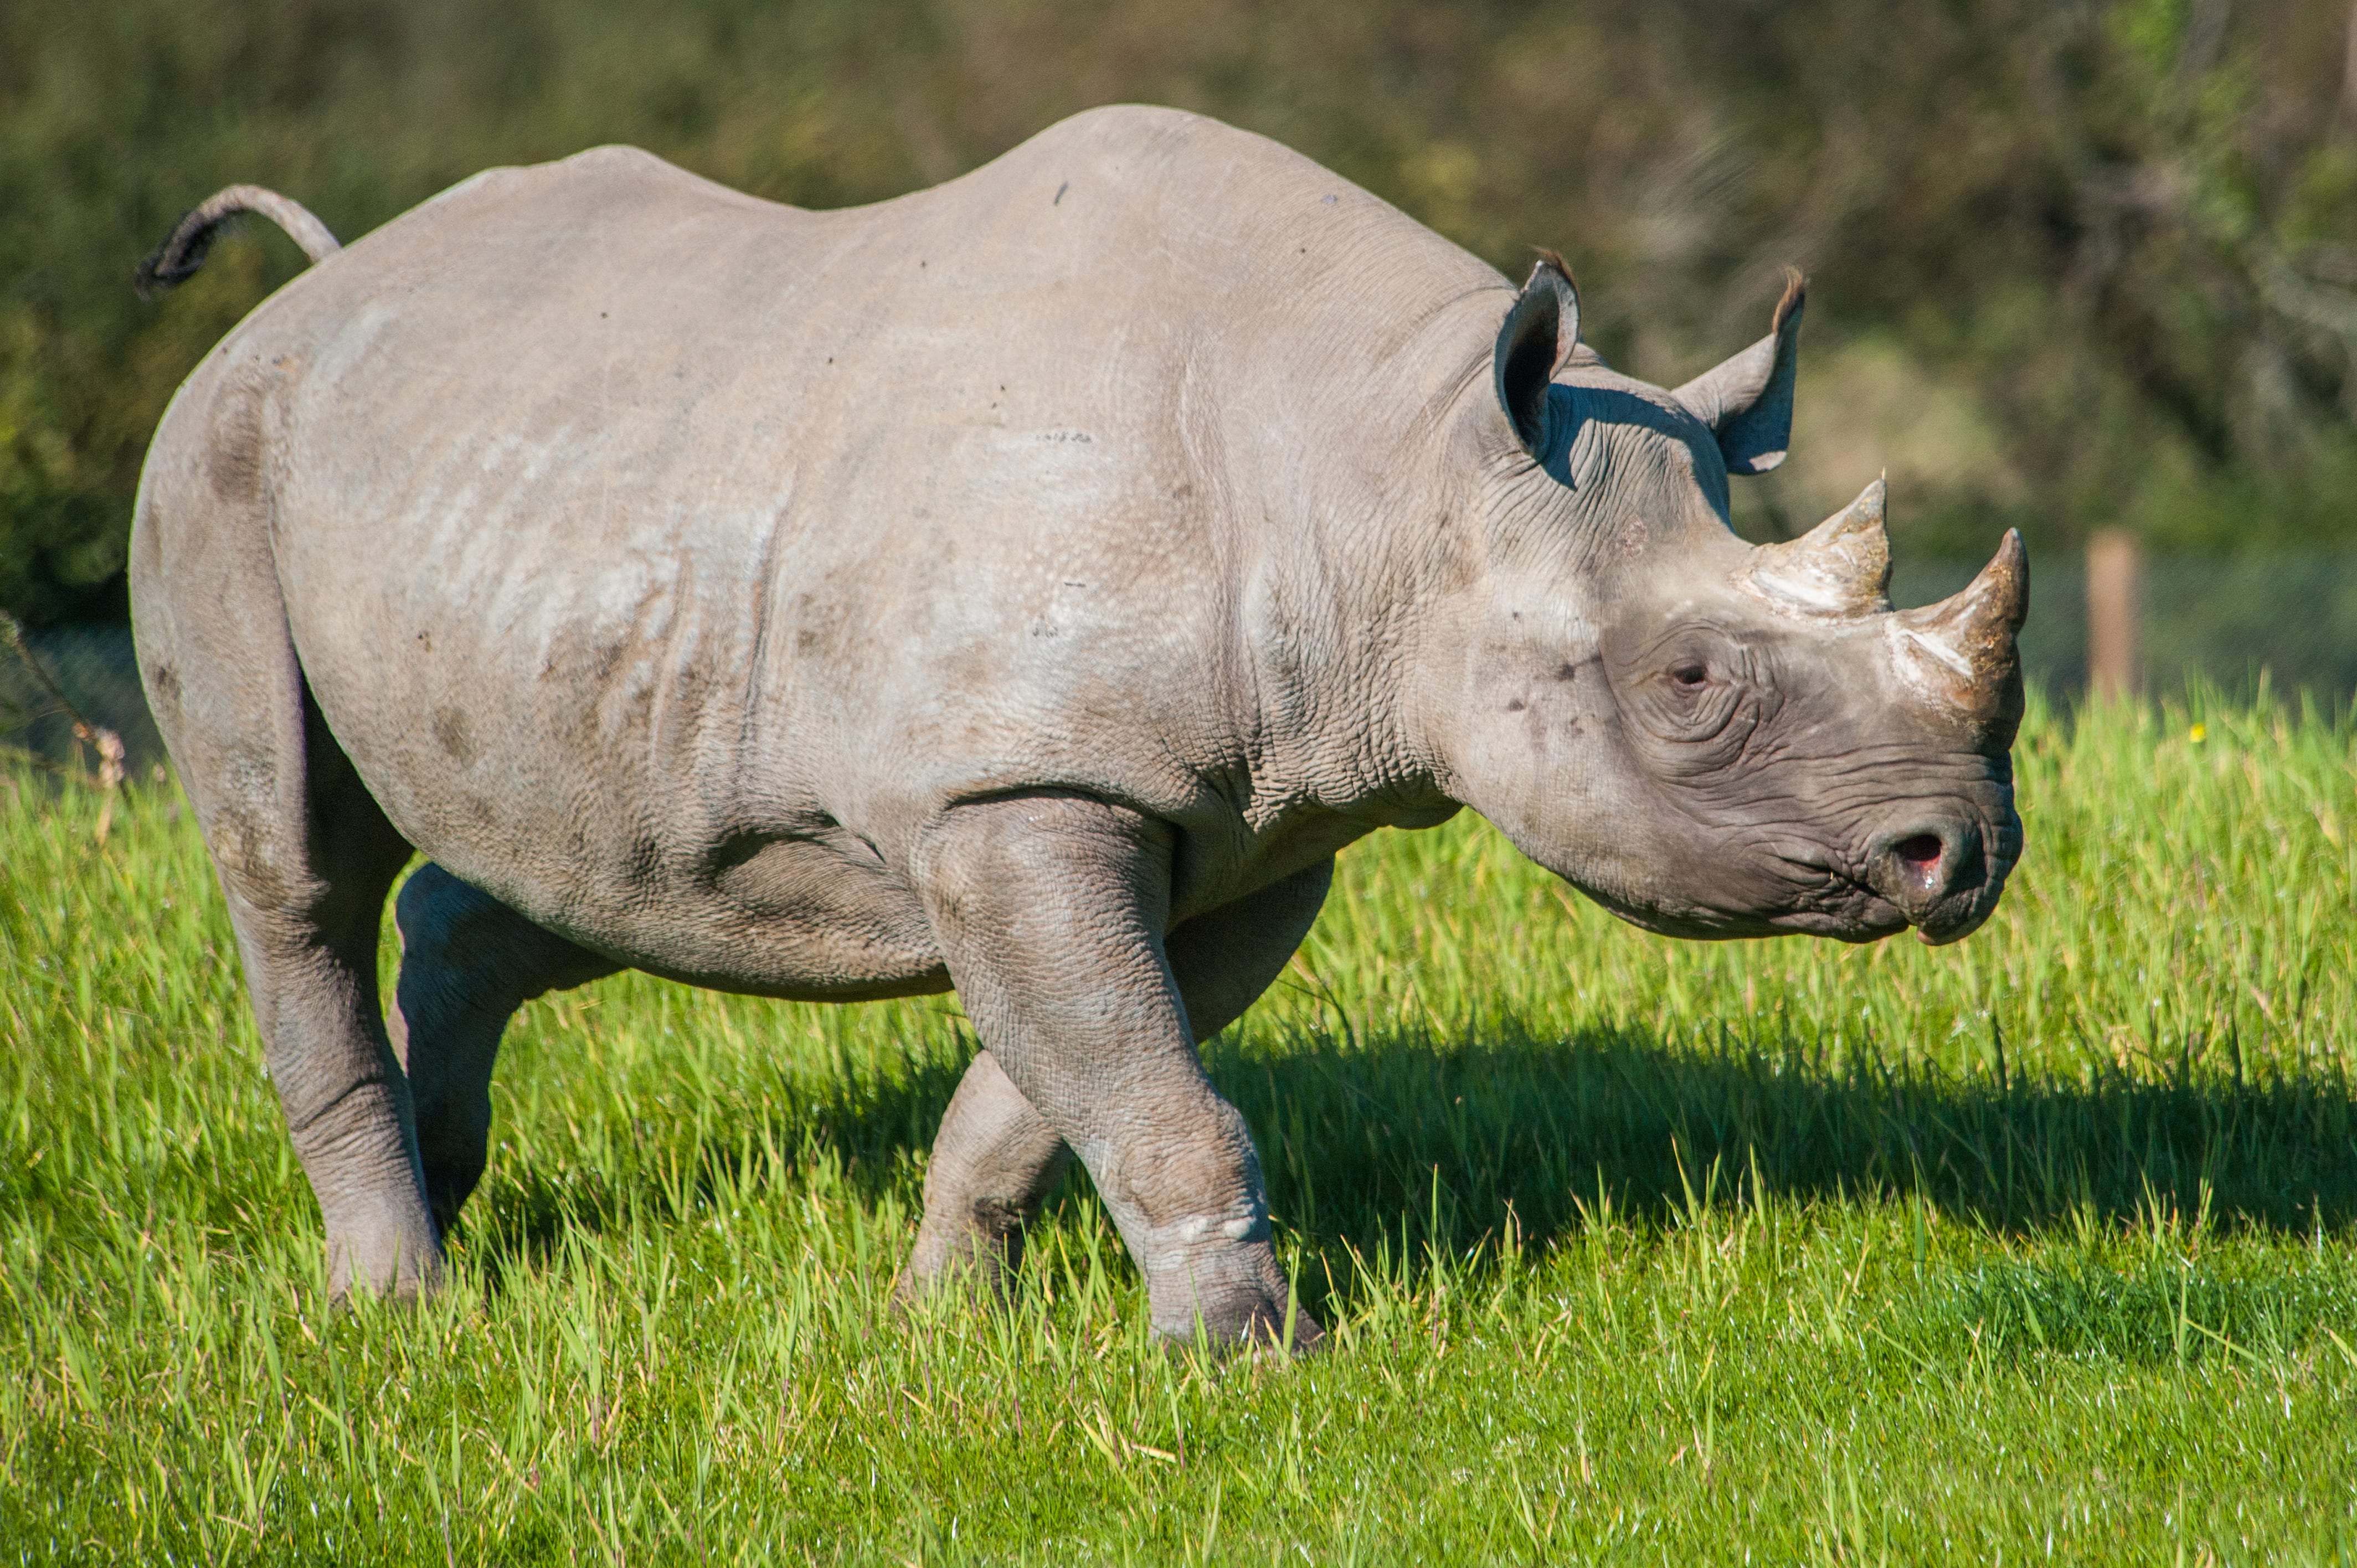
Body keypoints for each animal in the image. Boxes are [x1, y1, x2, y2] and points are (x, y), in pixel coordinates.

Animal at [131, 105, 2025, 1348]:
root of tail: (308, 295)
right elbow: (1146, 1086)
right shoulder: (1021, 788)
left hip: (539, 481)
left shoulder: (1263, 823)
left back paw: (455, 1193)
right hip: (214, 461)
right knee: (289, 866)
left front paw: (938, 1329)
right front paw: (1257, 1364)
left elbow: (1054, 1087)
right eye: (1690, 687)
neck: (1391, 471)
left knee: (587, 868)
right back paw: (396, 1302)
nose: (1967, 853)